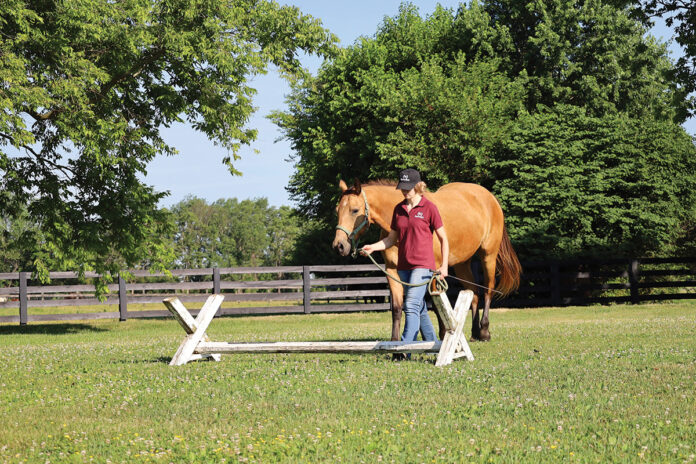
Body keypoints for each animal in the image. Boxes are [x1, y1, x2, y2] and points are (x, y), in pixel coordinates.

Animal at [332, 179, 521, 342]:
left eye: (354, 210)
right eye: (337, 210)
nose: (339, 246)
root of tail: (489, 197)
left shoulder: (432, 270)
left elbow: (436, 304)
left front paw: (442, 334)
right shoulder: (393, 271)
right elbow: (399, 307)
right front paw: (396, 342)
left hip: (488, 255)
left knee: (488, 290)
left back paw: (484, 332)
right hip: (462, 263)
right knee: (473, 292)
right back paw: (474, 332)